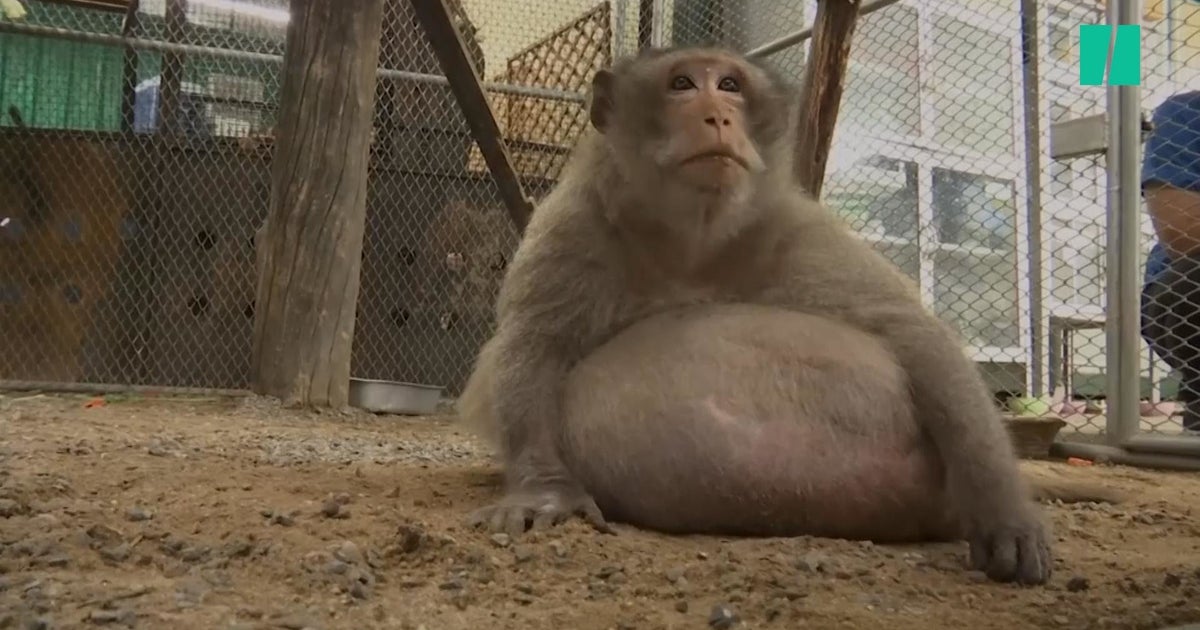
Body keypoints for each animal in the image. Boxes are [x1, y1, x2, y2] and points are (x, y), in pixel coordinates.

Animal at [457, 45, 1076, 585]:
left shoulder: (793, 228)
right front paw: (544, 491)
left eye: (731, 84)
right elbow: (533, 347)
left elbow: (914, 334)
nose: (718, 114)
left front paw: (1004, 511)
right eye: (683, 83)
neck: (690, 242)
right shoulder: (573, 226)